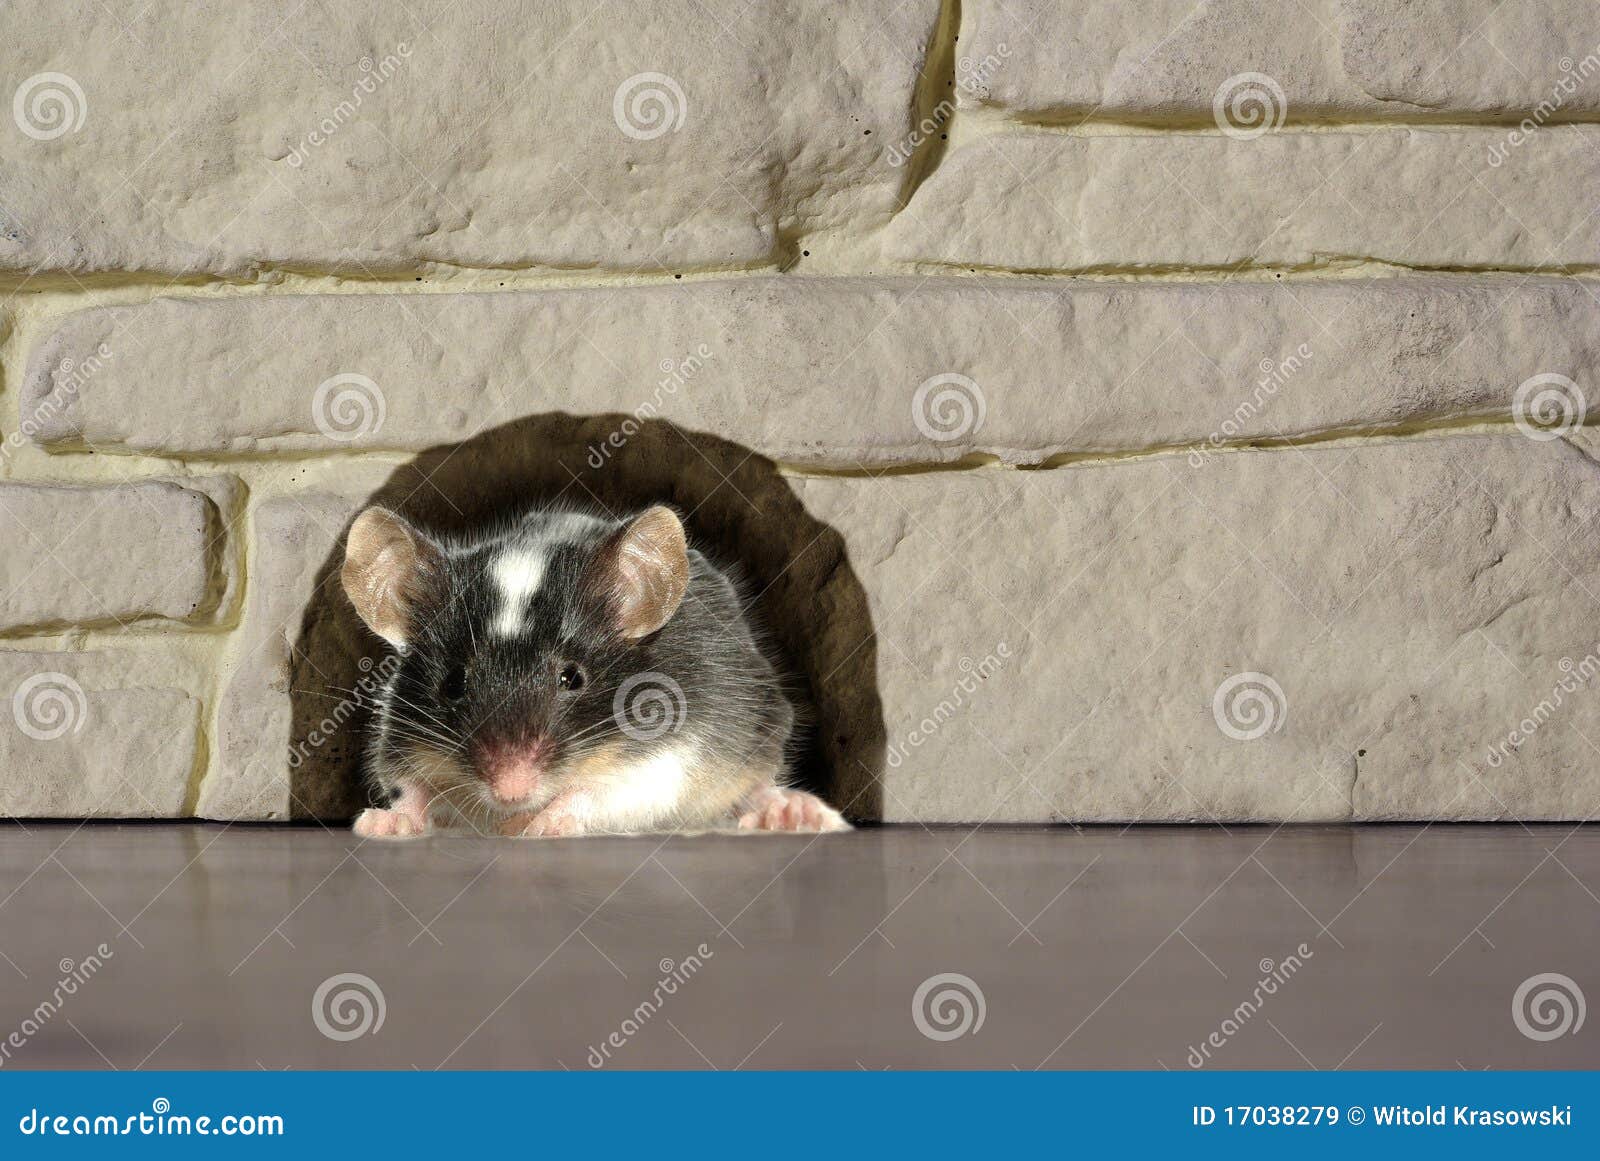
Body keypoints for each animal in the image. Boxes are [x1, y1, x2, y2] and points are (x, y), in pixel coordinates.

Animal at [338, 502, 850, 838]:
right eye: (453, 682)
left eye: (572, 677)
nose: (510, 793)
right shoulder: (400, 744)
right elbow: (410, 788)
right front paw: (383, 822)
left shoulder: (663, 757)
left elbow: (594, 793)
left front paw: (535, 822)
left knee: (758, 784)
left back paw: (795, 812)